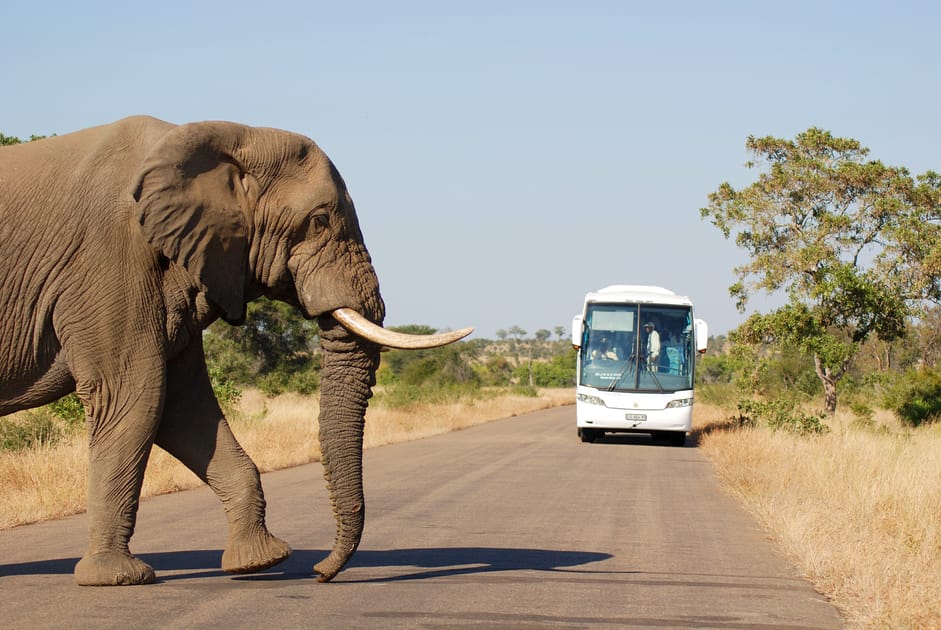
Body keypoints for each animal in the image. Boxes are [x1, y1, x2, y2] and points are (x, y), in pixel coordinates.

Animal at [0, 116, 471, 586]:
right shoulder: (107, 261)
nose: (320, 572)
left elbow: (184, 410)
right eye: (319, 221)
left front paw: (260, 561)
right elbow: (134, 396)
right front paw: (118, 577)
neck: (229, 136)